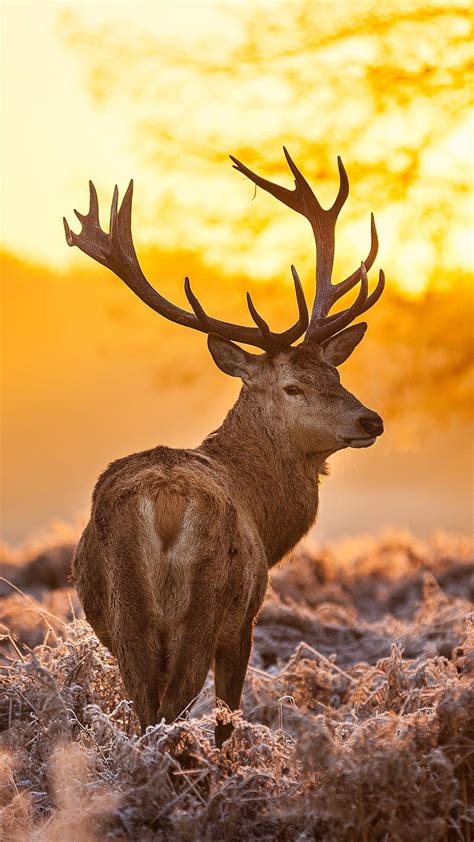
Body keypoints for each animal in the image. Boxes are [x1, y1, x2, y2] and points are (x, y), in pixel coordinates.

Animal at [64, 148, 385, 747]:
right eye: (293, 387)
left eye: (336, 373)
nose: (371, 419)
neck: (265, 512)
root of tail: (164, 504)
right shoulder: (246, 619)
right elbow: (227, 717)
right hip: (206, 604)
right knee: (174, 708)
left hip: (124, 614)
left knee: (145, 708)